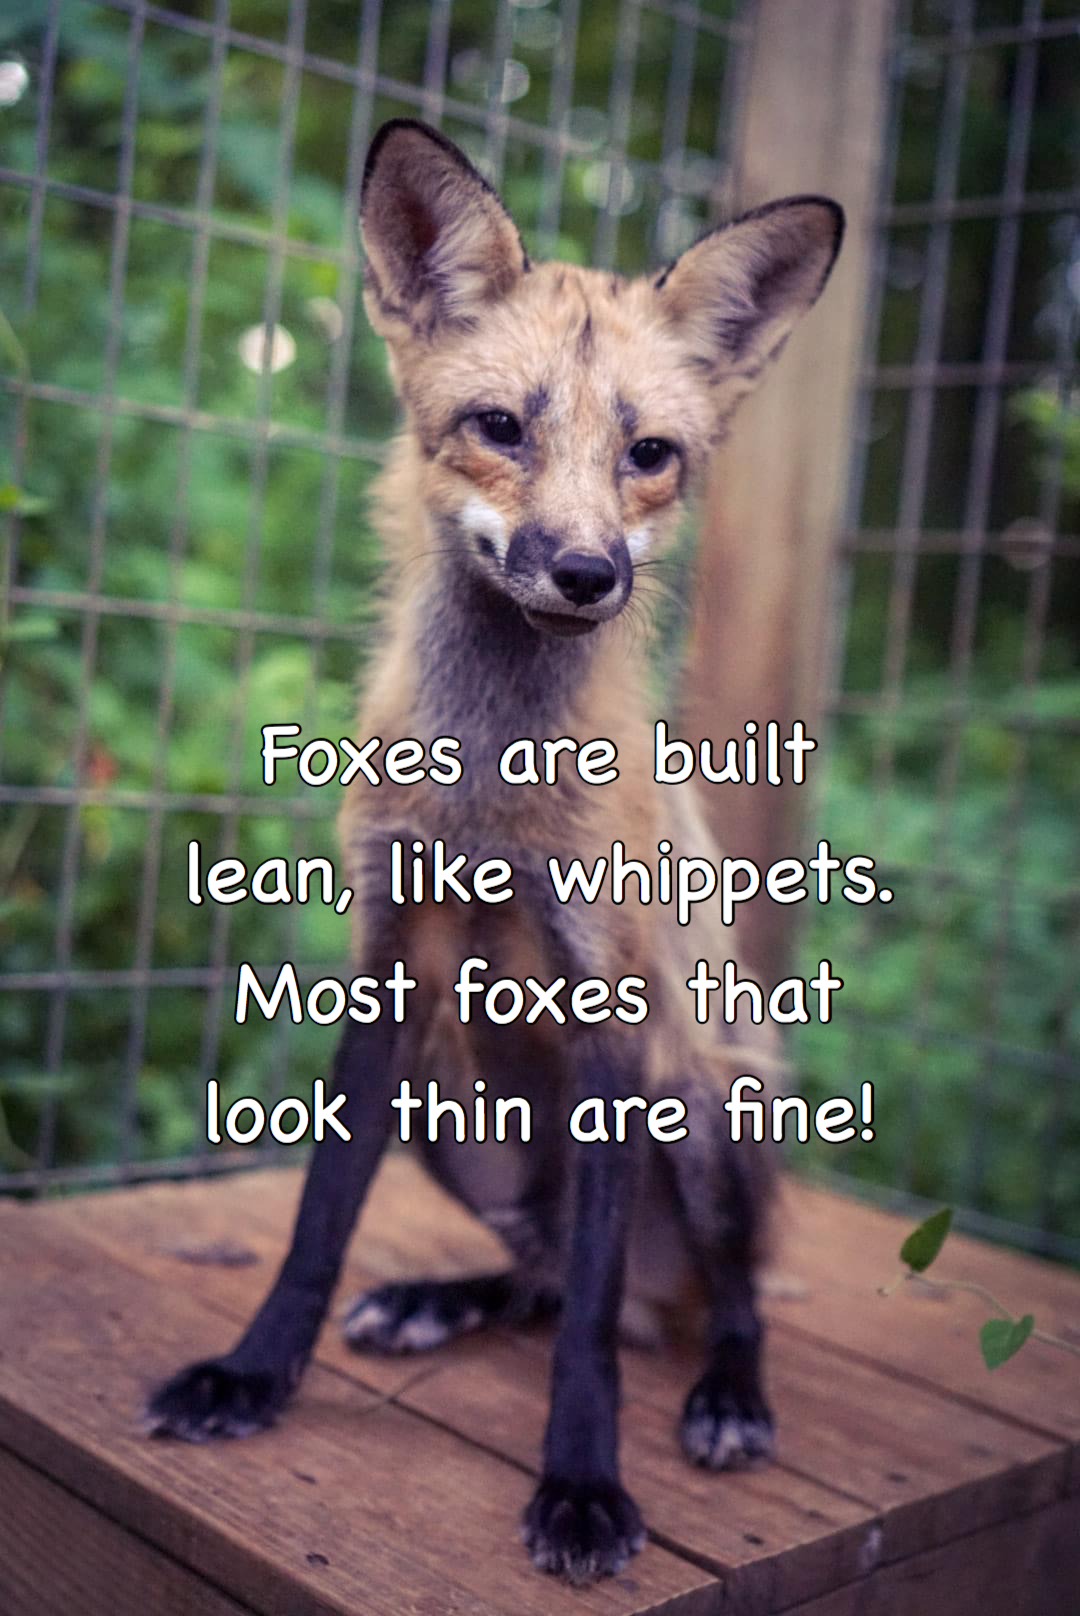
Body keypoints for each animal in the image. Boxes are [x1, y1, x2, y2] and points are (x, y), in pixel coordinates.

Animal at [147, 118, 843, 1583]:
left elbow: (585, 1346)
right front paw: (255, 1377)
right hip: (446, 1105)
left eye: (653, 452)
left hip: (705, 1100)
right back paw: (439, 1298)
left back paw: (728, 1396)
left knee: (699, 1298)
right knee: (549, 1275)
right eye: (501, 428)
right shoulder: (390, 969)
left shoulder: (613, 1009)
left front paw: (581, 1485)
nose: (586, 574)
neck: (488, 795)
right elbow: (315, 1226)